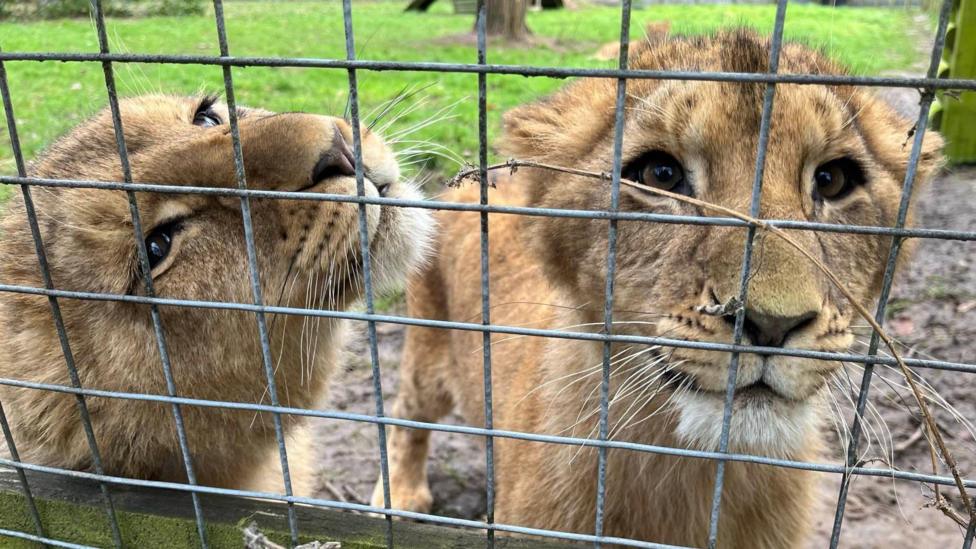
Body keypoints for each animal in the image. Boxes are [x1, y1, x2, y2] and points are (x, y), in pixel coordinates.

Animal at [372, 30, 943, 547]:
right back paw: (398, 495)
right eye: (661, 174)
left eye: (831, 180)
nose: (772, 324)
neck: (695, 476)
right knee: (404, 417)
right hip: (427, 352)